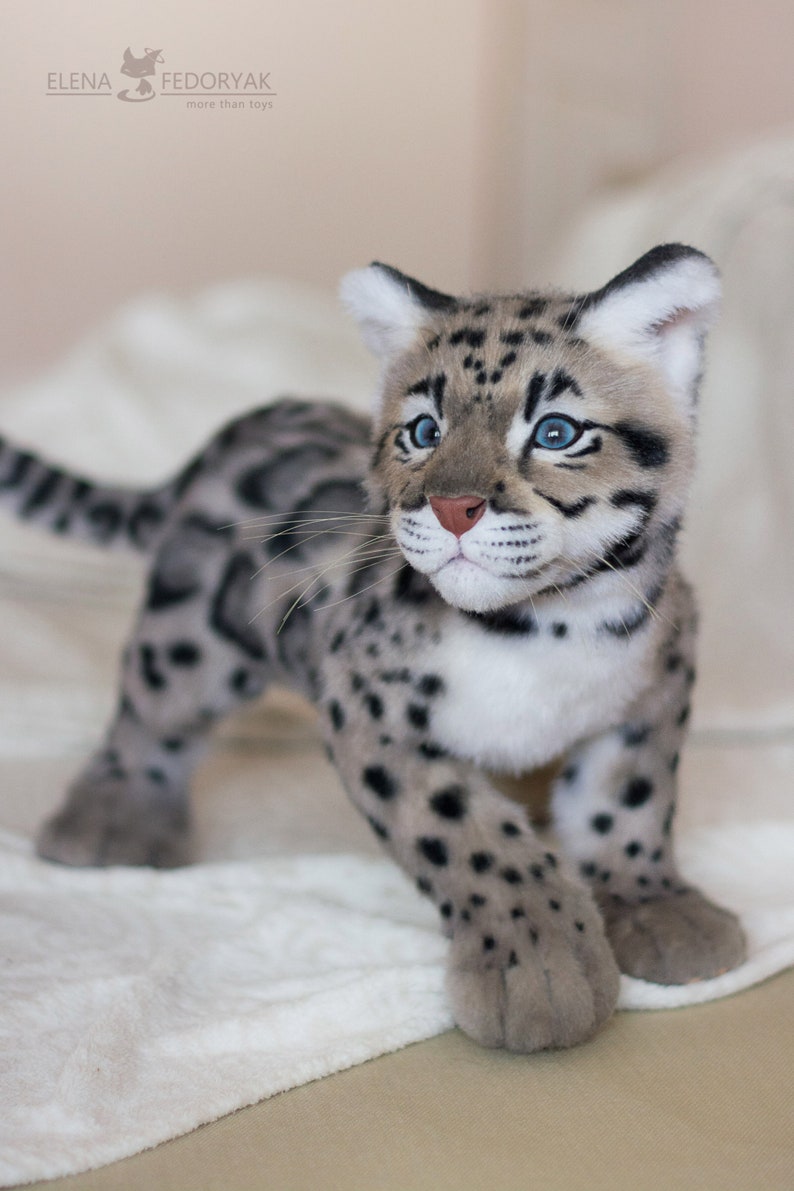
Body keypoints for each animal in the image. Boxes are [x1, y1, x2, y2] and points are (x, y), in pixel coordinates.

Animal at [0, 243, 747, 1052]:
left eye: (555, 432)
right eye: (422, 431)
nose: (452, 508)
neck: (555, 626)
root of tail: (231, 432)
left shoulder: (657, 685)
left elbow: (630, 804)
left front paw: (657, 905)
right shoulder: (368, 705)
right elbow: (468, 835)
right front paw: (540, 966)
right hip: (191, 635)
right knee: (150, 708)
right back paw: (108, 822)